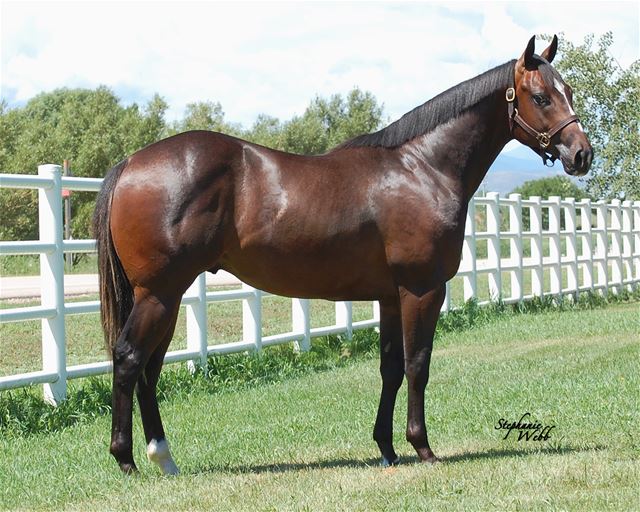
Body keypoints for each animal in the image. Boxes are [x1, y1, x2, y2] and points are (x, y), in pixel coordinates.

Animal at [93, 35, 592, 474]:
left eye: (567, 91)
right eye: (541, 96)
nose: (581, 154)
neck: (424, 169)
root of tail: (131, 163)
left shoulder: (390, 296)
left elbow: (391, 368)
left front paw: (387, 449)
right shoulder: (422, 290)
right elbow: (418, 364)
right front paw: (422, 447)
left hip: (167, 296)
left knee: (150, 369)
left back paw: (164, 458)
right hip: (160, 293)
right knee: (130, 358)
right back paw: (126, 459)